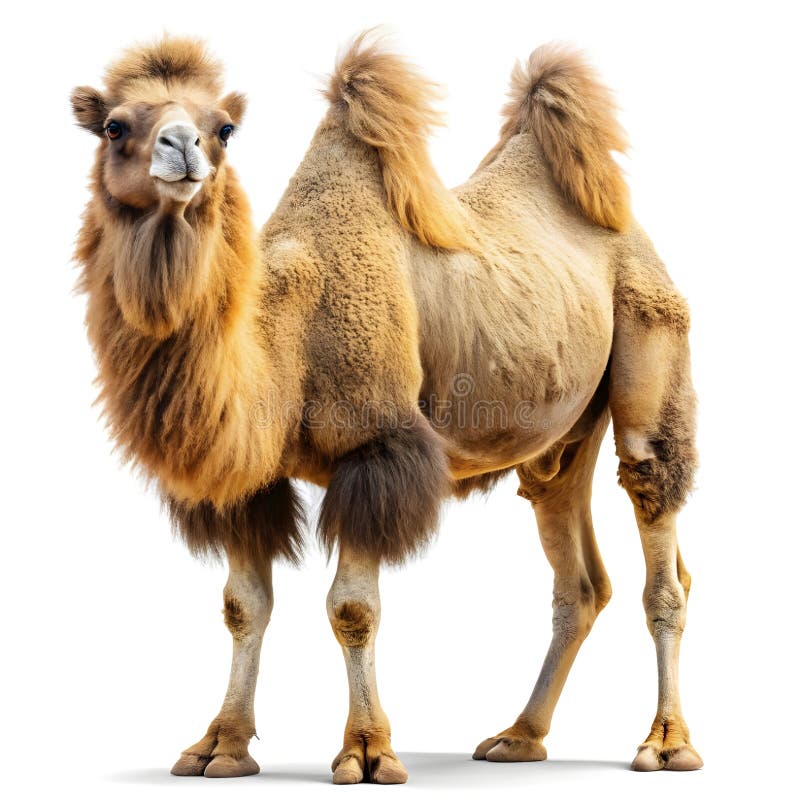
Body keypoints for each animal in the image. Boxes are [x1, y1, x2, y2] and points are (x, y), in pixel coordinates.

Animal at [71, 33, 702, 782]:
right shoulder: (249, 479)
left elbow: (351, 607)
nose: (182, 147)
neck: (287, 330)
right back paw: (518, 736)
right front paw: (219, 745)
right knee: (577, 575)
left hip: (650, 338)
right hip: (558, 437)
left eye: (222, 128)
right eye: (114, 126)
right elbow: (243, 606)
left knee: (659, 539)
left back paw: (666, 743)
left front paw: (368, 752)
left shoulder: (376, 450)